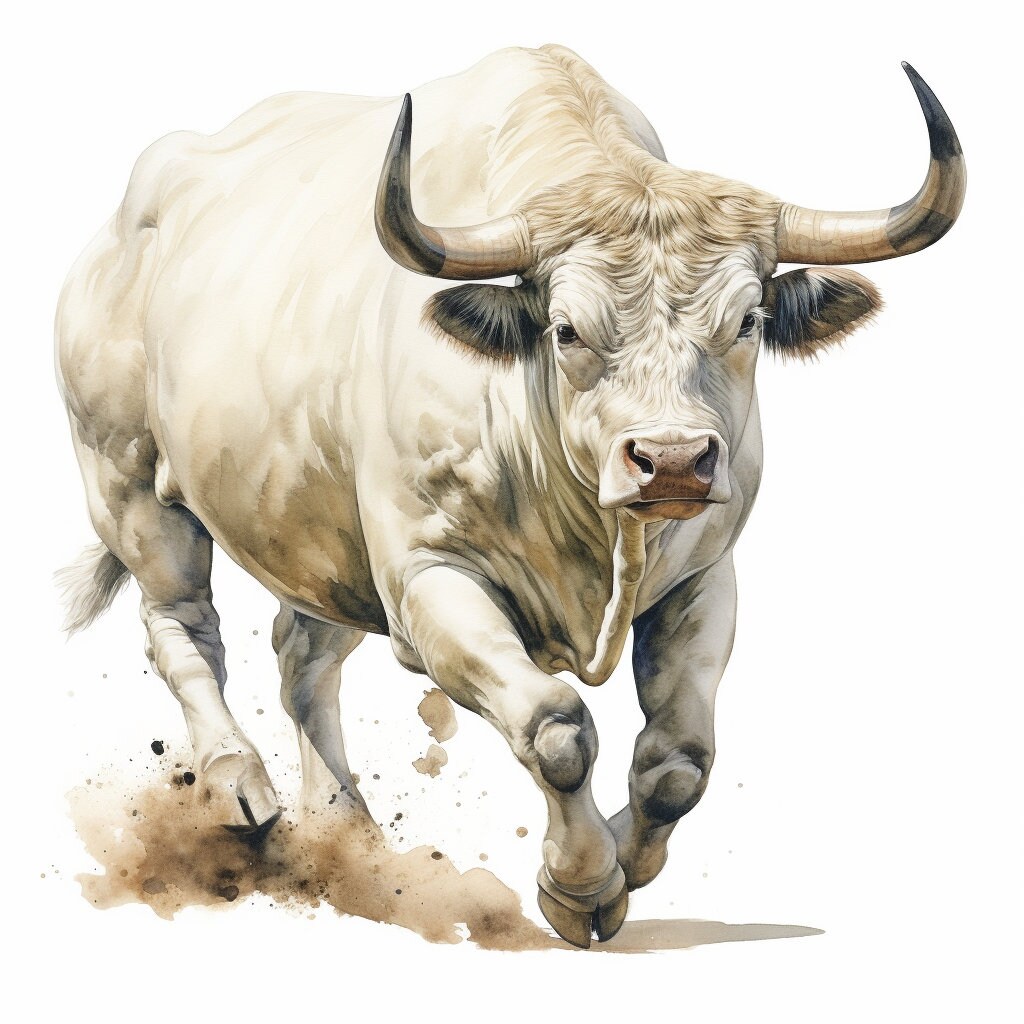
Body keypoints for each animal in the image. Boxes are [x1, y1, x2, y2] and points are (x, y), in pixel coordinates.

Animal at [56, 45, 964, 947]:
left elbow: (678, 763)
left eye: (747, 322)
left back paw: (345, 826)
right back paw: (237, 784)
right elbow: (558, 729)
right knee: (184, 629)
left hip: (316, 534)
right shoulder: (428, 581)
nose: (671, 461)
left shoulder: (704, 578)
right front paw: (581, 887)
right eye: (566, 329)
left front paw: (626, 865)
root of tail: (122, 232)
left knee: (302, 658)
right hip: (131, 484)